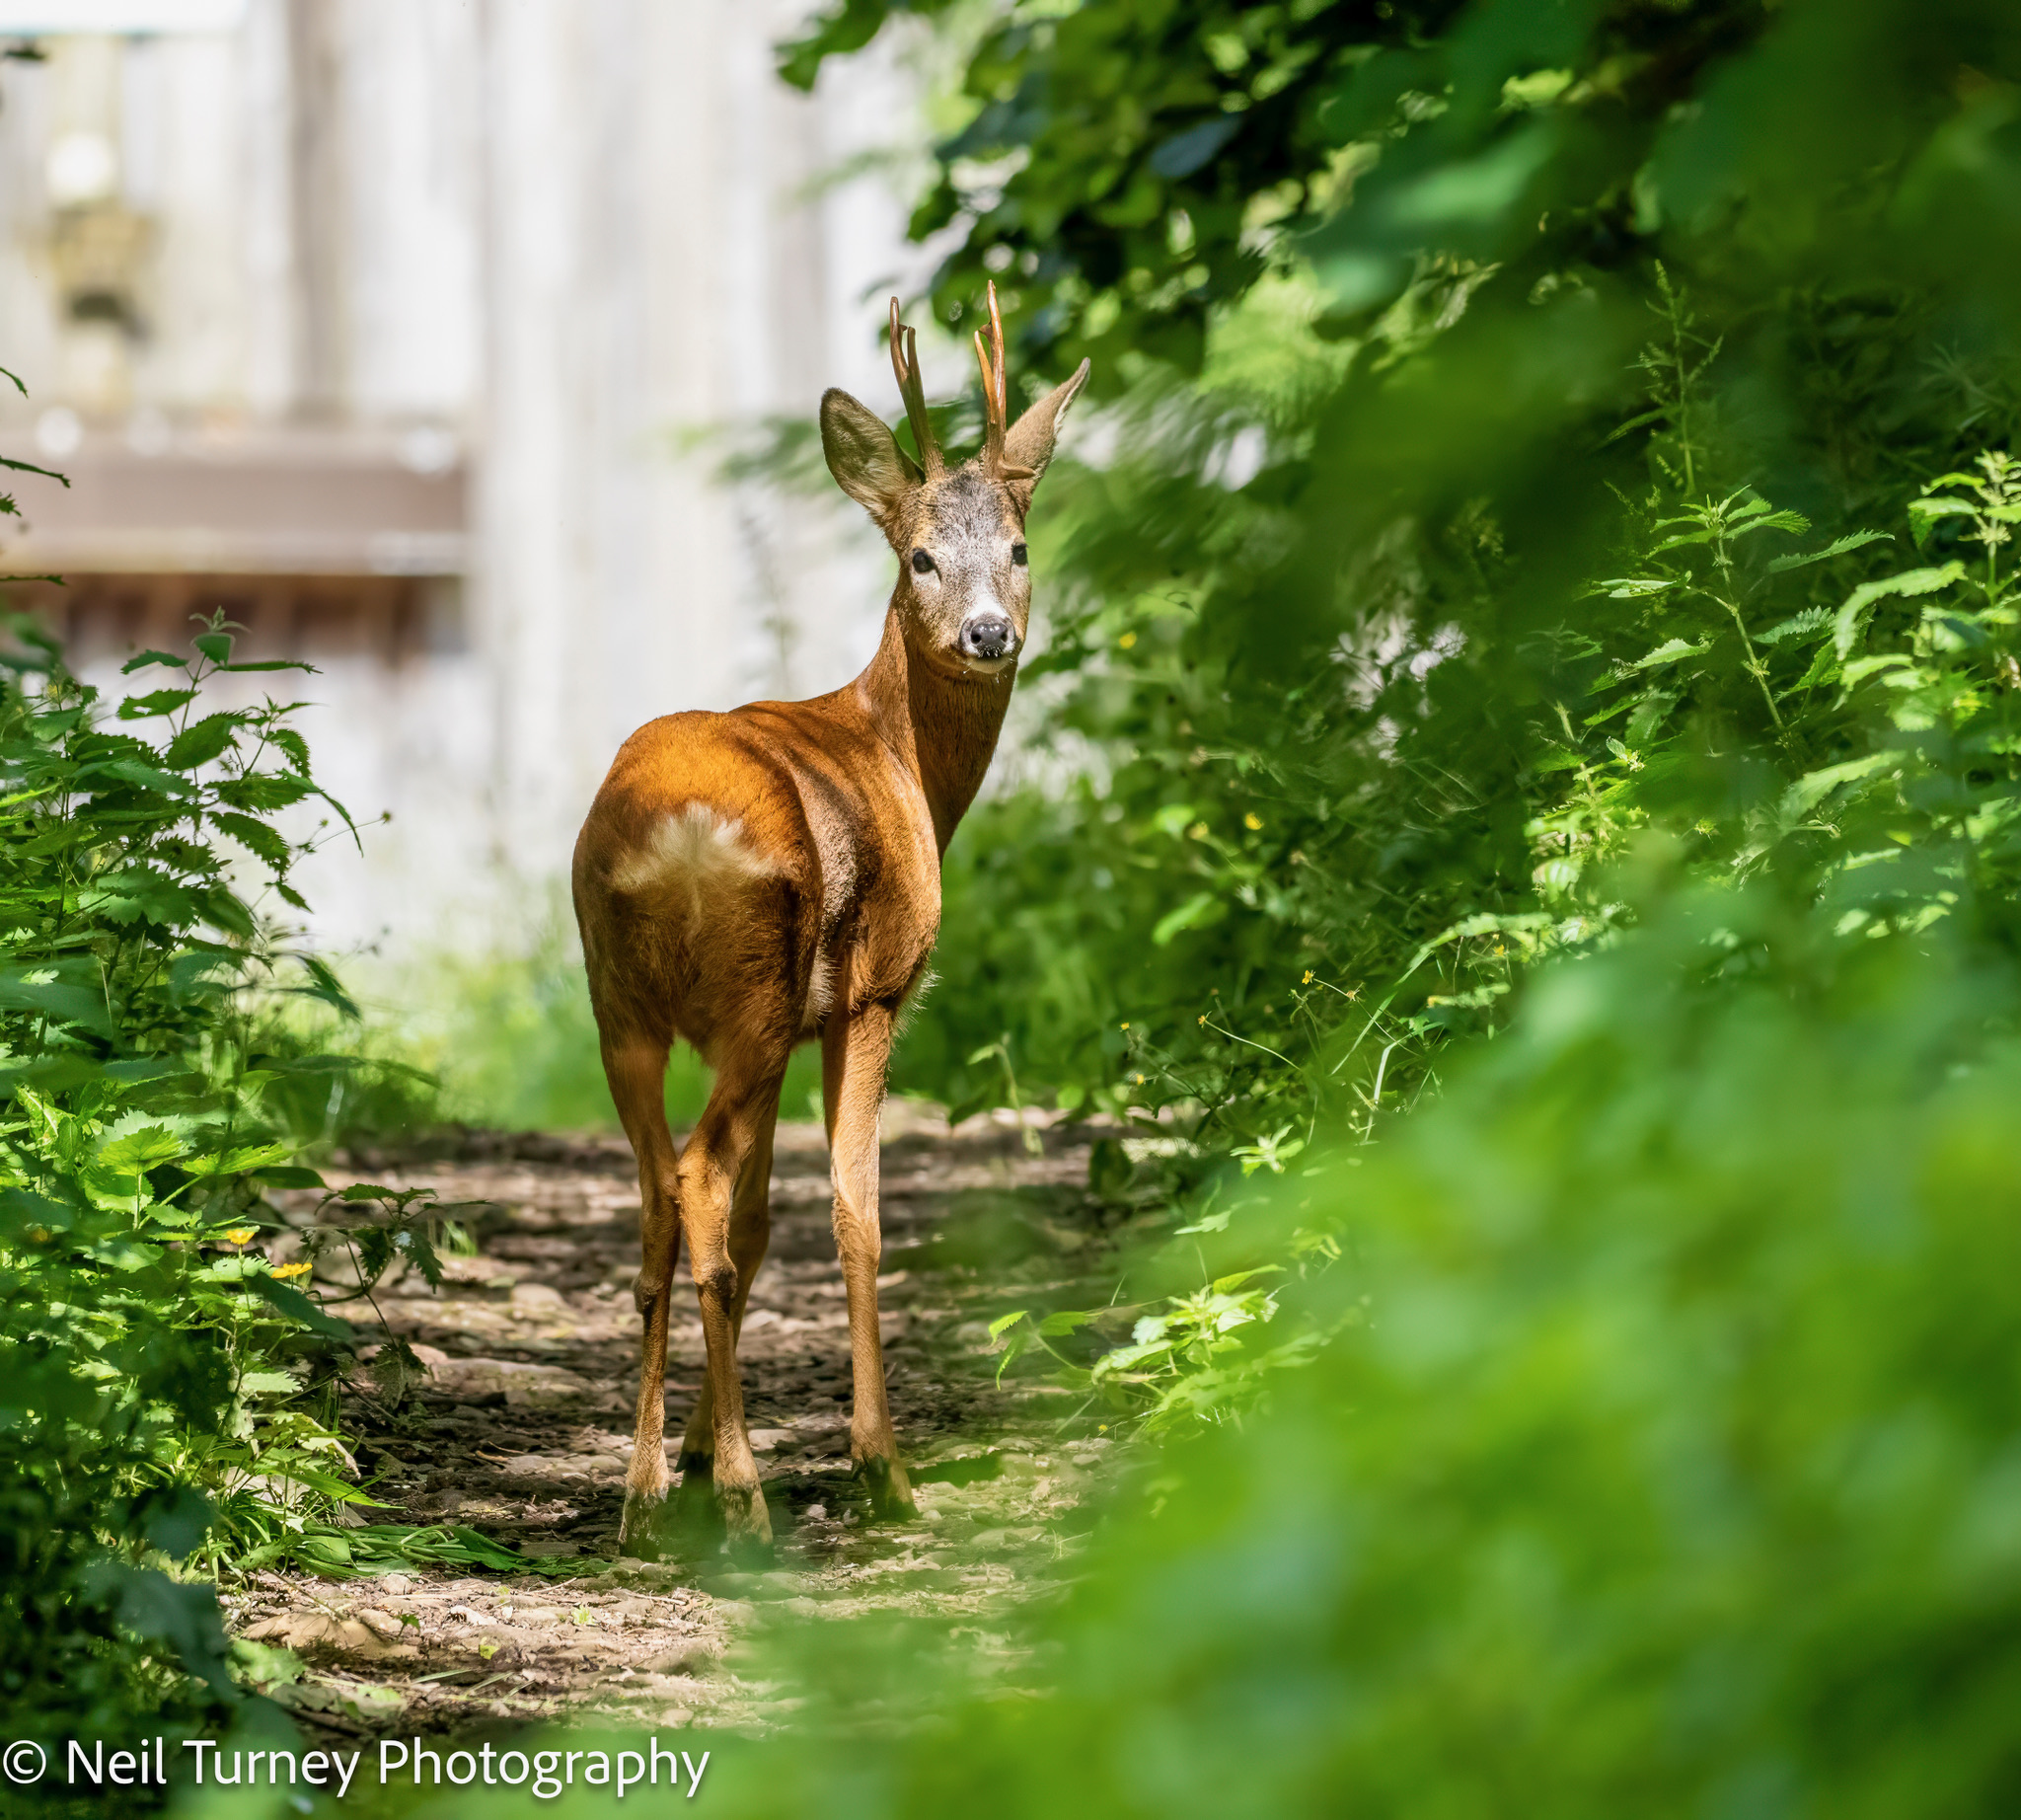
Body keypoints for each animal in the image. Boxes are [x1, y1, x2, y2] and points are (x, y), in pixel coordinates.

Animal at [572, 285, 1089, 1559]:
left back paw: (642, 1493)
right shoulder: (868, 992)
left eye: (1017, 545)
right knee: (697, 1181)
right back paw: (749, 1497)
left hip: (623, 1002)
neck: (894, 752)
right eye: (919, 554)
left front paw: (692, 1452)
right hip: (756, 995)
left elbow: (758, 1228)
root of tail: (677, 835)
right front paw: (878, 1463)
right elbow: (855, 1215)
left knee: (662, 1200)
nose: (990, 633)